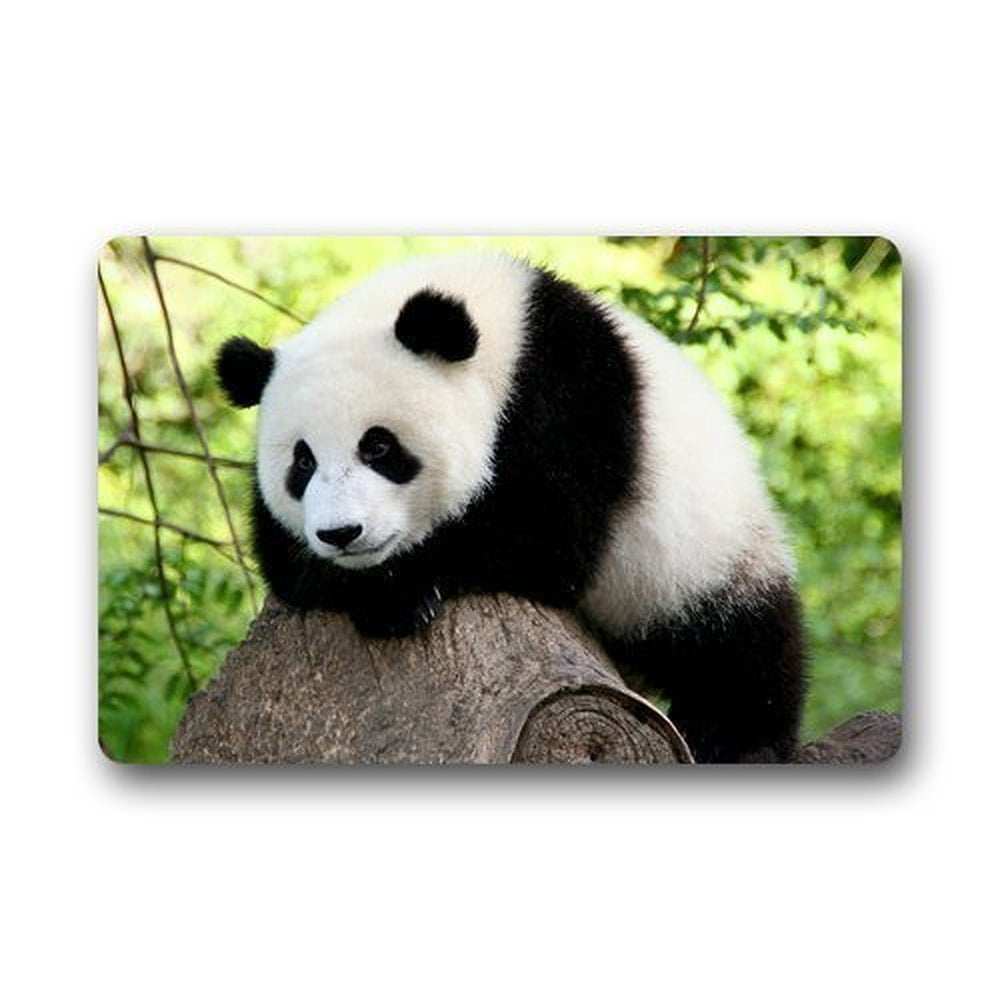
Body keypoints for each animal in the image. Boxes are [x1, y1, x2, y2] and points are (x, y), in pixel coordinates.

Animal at [216, 252, 805, 763]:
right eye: (302, 462)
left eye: (378, 446)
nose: (341, 533)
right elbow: (283, 560)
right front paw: (360, 585)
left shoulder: (573, 398)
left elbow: (547, 534)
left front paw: (400, 592)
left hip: (706, 553)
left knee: (738, 654)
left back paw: (738, 742)